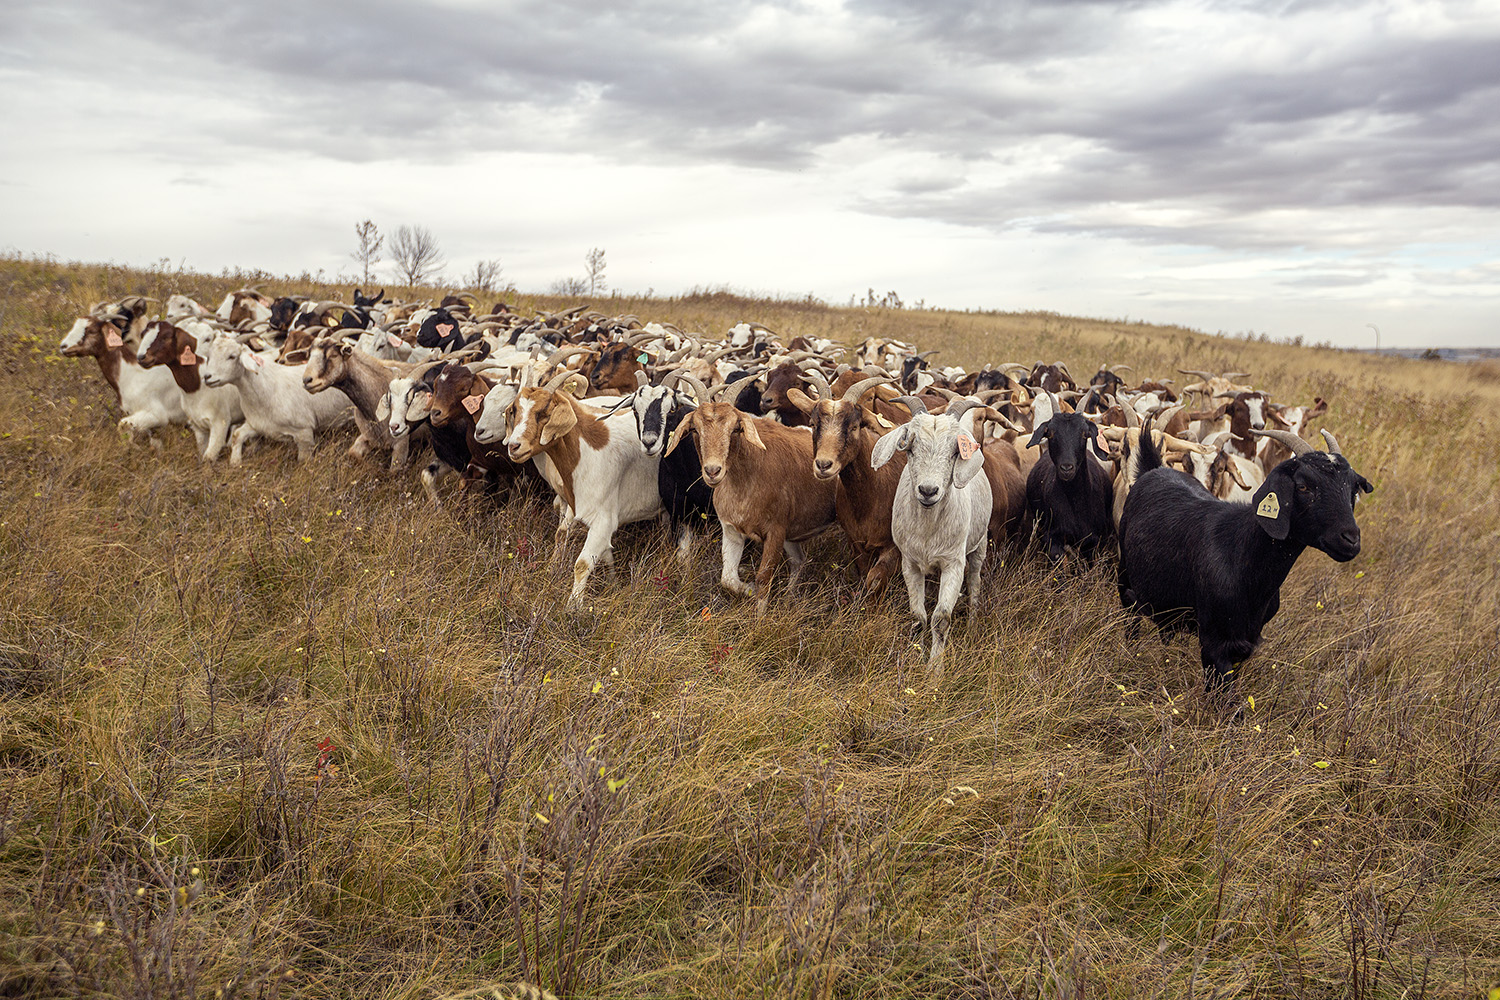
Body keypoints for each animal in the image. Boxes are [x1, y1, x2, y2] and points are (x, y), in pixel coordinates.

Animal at [1118, 427, 1374, 690]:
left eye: (1353, 488)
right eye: (1303, 486)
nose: (1350, 539)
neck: (1241, 553)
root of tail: (1152, 468)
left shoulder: (1245, 641)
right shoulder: (1214, 642)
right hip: (1125, 581)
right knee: (1131, 620)